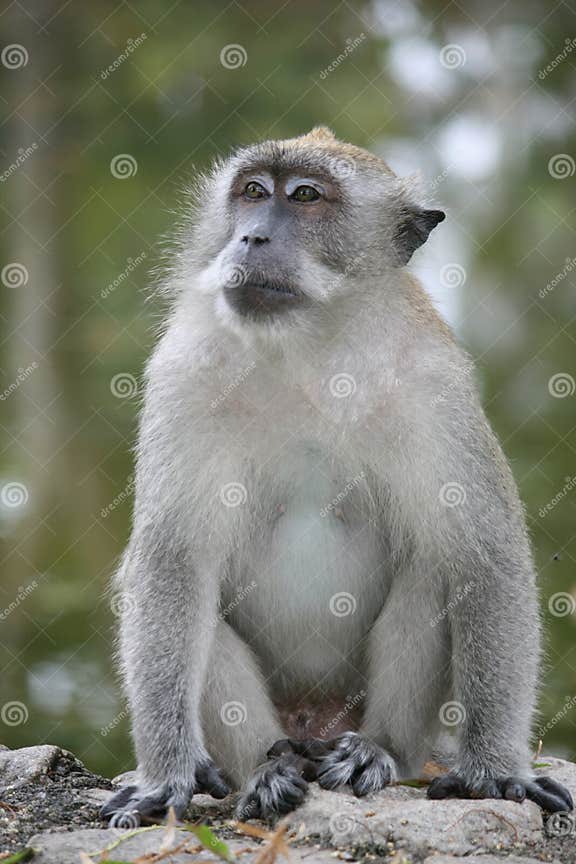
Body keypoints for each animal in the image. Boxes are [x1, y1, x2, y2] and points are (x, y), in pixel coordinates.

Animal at [101, 127, 573, 827]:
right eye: (252, 192)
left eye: (304, 197)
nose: (252, 237)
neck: (308, 347)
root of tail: (314, 719)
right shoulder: (183, 370)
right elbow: (172, 560)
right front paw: (169, 775)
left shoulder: (434, 382)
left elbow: (484, 554)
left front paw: (494, 771)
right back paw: (268, 770)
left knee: (434, 569)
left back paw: (374, 752)